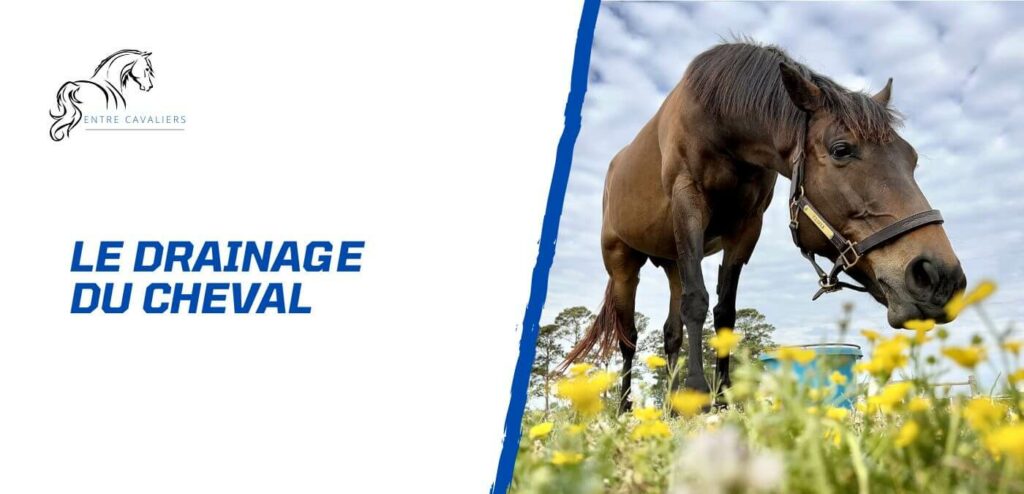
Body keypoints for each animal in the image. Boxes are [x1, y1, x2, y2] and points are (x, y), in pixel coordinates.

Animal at [562, 41, 966, 413]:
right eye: (841, 149)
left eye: (911, 158)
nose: (940, 278)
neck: (718, 119)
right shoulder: (688, 202)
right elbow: (698, 302)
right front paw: (699, 392)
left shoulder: (745, 228)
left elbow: (724, 313)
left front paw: (723, 398)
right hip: (623, 263)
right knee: (629, 337)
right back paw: (624, 409)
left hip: (673, 261)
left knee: (671, 332)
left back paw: (670, 407)